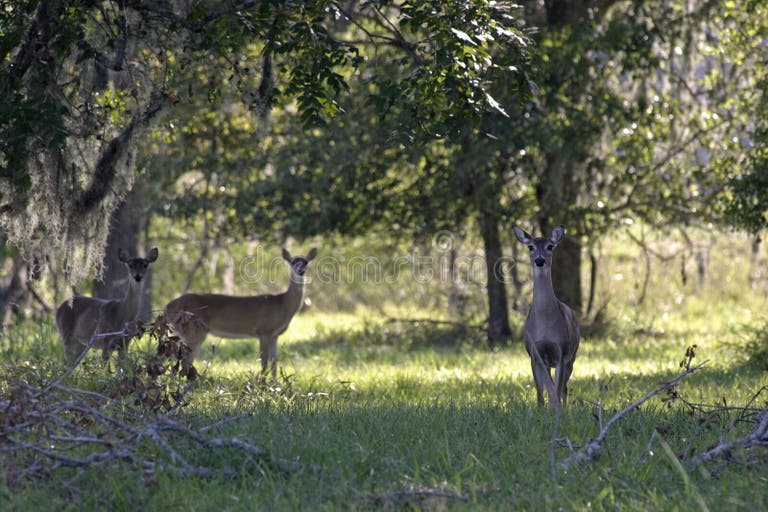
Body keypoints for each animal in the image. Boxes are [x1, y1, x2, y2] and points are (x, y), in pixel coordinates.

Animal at [162, 248, 317, 380]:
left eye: (306, 261)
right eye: (292, 262)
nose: (301, 270)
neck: (283, 304)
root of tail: (167, 307)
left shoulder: (275, 335)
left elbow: (274, 361)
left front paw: (275, 383)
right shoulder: (263, 330)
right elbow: (264, 361)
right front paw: (262, 382)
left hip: (180, 332)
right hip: (193, 331)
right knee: (184, 361)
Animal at [513, 225, 580, 412]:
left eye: (550, 246)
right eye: (530, 247)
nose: (540, 260)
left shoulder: (561, 352)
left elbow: (556, 389)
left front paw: (557, 410)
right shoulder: (534, 354)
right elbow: (541, 391)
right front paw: (542, 410)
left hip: (572, 357)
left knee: (564, 388)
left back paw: (564, 408)